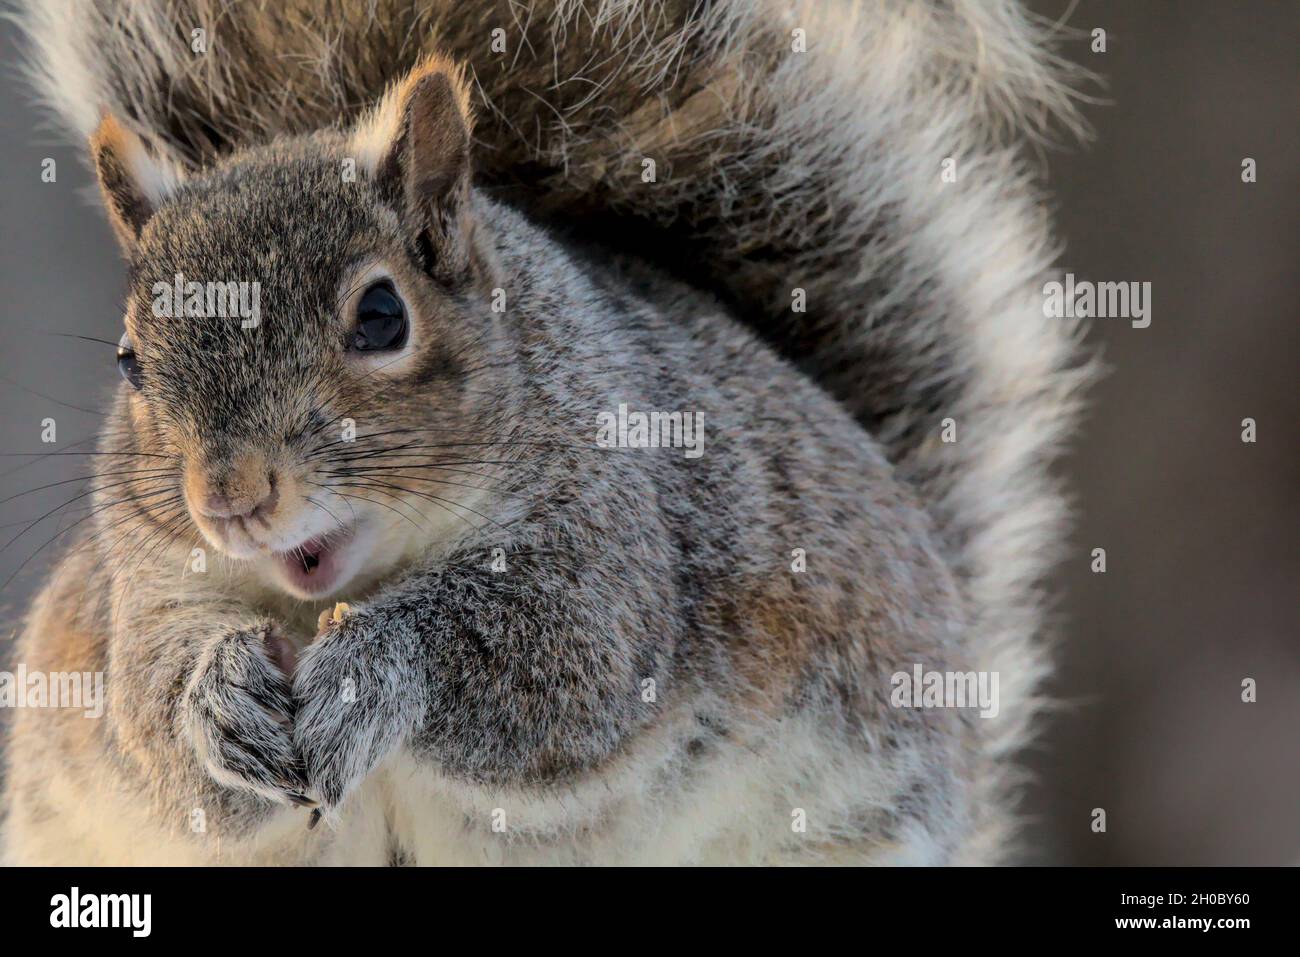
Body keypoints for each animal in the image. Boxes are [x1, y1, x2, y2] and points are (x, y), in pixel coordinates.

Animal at [3, 1, 1087, 864]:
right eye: (128, 360)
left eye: (381, 317)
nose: (230, 498)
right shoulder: (144, 588)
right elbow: (155, 726)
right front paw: (217, 699)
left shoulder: (619, 539)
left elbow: (563, 665)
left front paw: (370, 676)